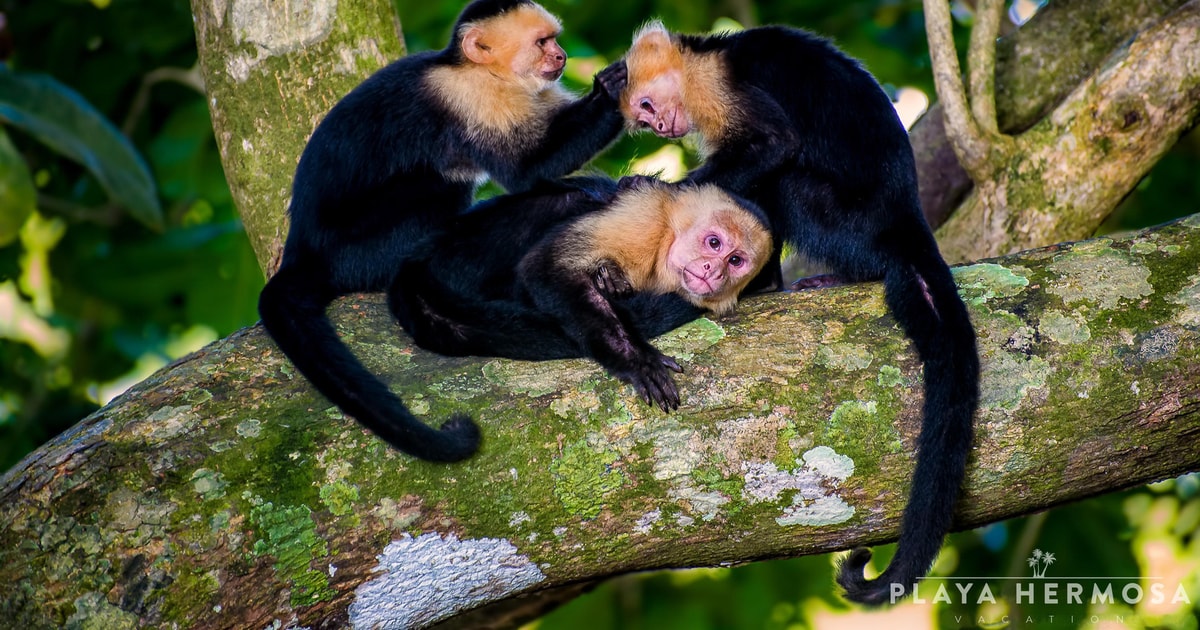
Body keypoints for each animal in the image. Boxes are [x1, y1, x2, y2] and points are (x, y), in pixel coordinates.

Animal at [256, 0, 629, 463]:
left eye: (554, 41)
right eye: (542, 42)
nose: (561, 57)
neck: (479, 71)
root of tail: (300, 253)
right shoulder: (470, 98)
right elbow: (528, 168)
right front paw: (612, 89)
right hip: (360, 252)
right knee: (437, 184)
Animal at [388, 175, 773, 411]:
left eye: (735, 261)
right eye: (714, 243)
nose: (713, 270)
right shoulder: (646, 217)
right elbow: (545, 266)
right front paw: (635, 359)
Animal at [619, 22, 981, 605]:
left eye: (649, 105)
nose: (661, 126)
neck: (702, 59)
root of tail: (907, 218)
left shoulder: (717, 85)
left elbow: (774, 145)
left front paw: (661, 188)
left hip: (847, 220)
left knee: (783, 184)